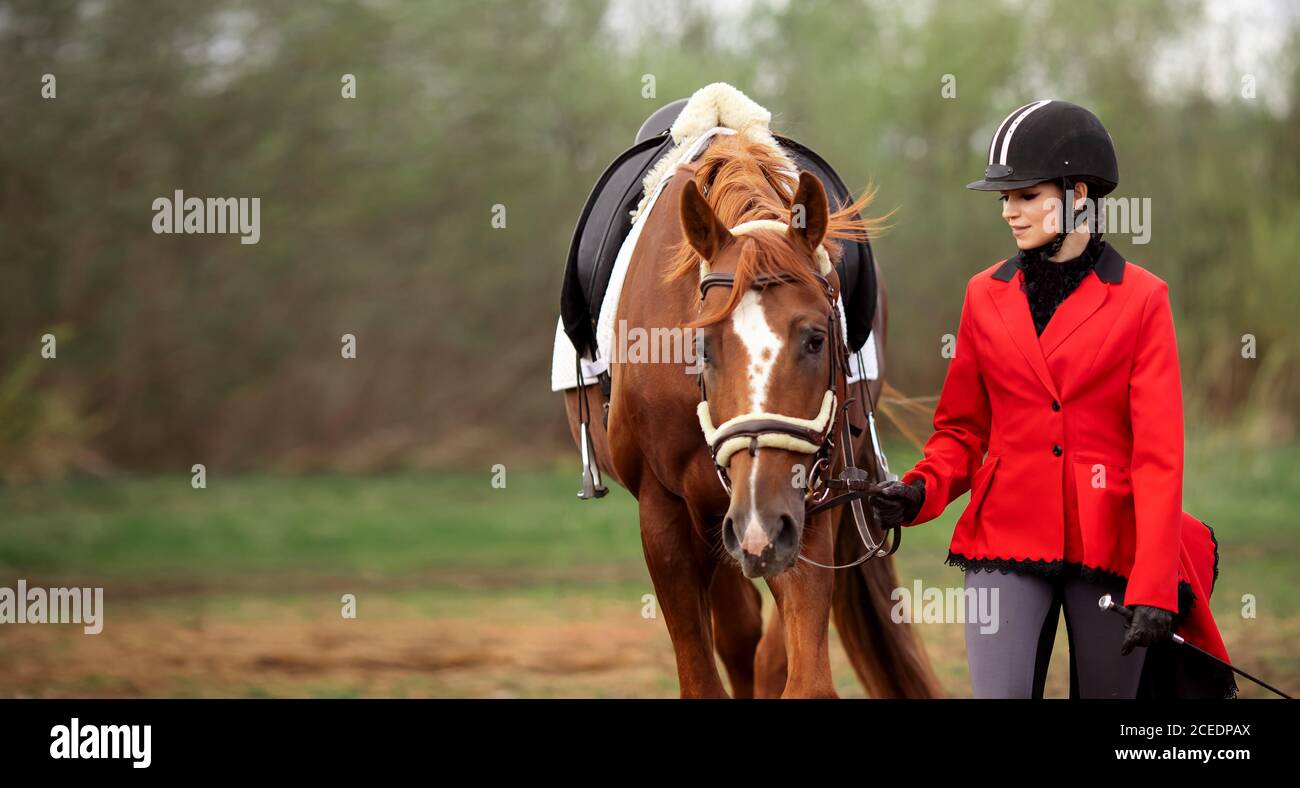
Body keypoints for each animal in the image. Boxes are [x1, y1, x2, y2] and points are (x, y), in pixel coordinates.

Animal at [563, 130, 941, 698]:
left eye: (816, 338)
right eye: (701, 346)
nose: (761, 518)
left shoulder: (806, 506)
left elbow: (803, 676)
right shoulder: (666, 514)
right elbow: (704, 677)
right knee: (738, 635)